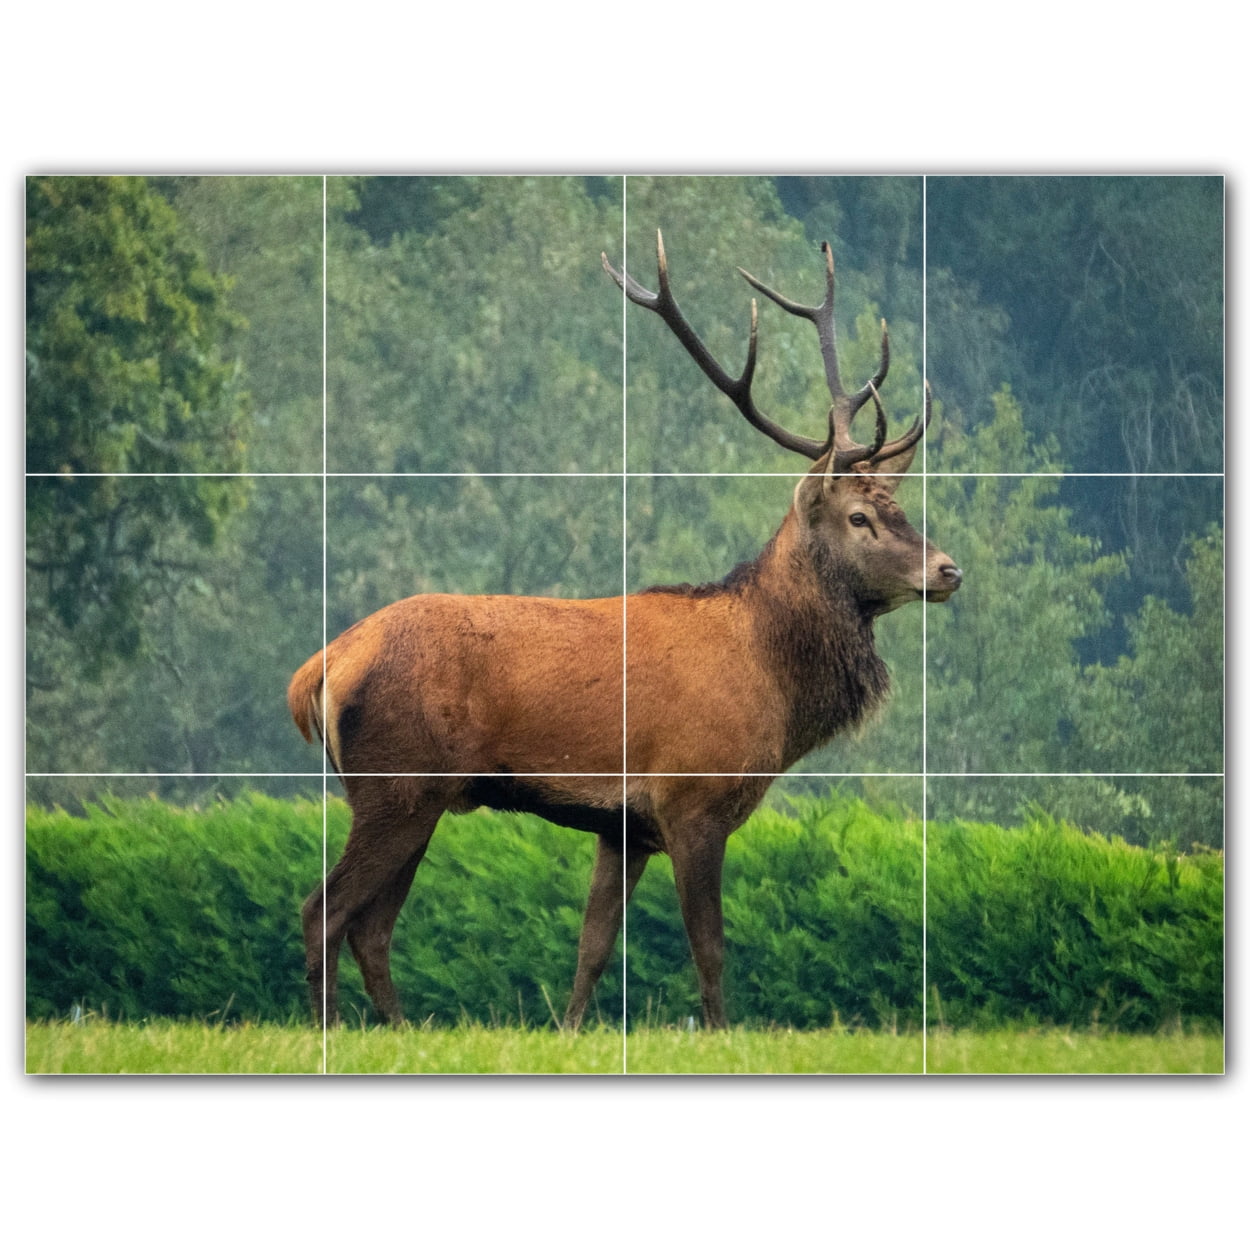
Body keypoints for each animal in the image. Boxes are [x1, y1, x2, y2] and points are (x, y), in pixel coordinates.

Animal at [288, 232, 961, 1031]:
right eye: (860, 517)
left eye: (900, 508)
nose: (949, 569)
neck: (771, 683)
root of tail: (321, 669)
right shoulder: (691, 800)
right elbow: (709, 948)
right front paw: (720, 1035)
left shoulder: (623, 824)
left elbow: (595, 943)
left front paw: (570, 1029)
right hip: (397, 784)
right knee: (325, 911)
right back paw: (340, 1029)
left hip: (411, 795)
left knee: (372, 926)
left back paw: (400, 1030)